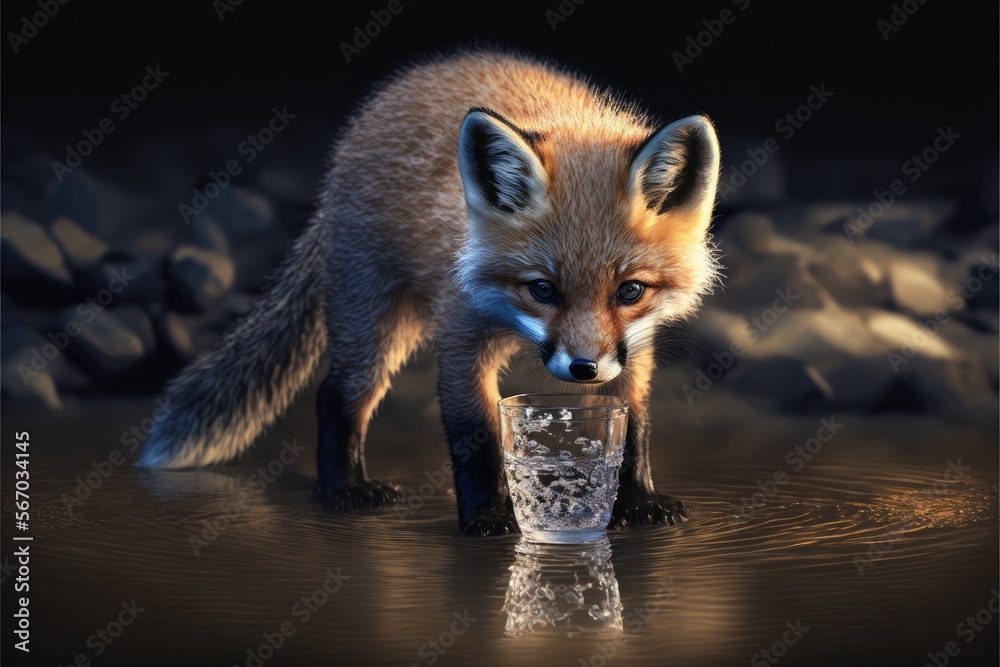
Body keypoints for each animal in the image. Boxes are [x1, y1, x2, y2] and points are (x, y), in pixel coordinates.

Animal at [138, 49, 722, 537]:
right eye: (542, 289)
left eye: (630, 290)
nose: (583, 370)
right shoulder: (460, 337)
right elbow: (475, 437)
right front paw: (487, 516)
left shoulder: (632, 349)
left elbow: (633, 426)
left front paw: (637, 503)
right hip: (373, 324)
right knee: (336, 396)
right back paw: (344, 489)